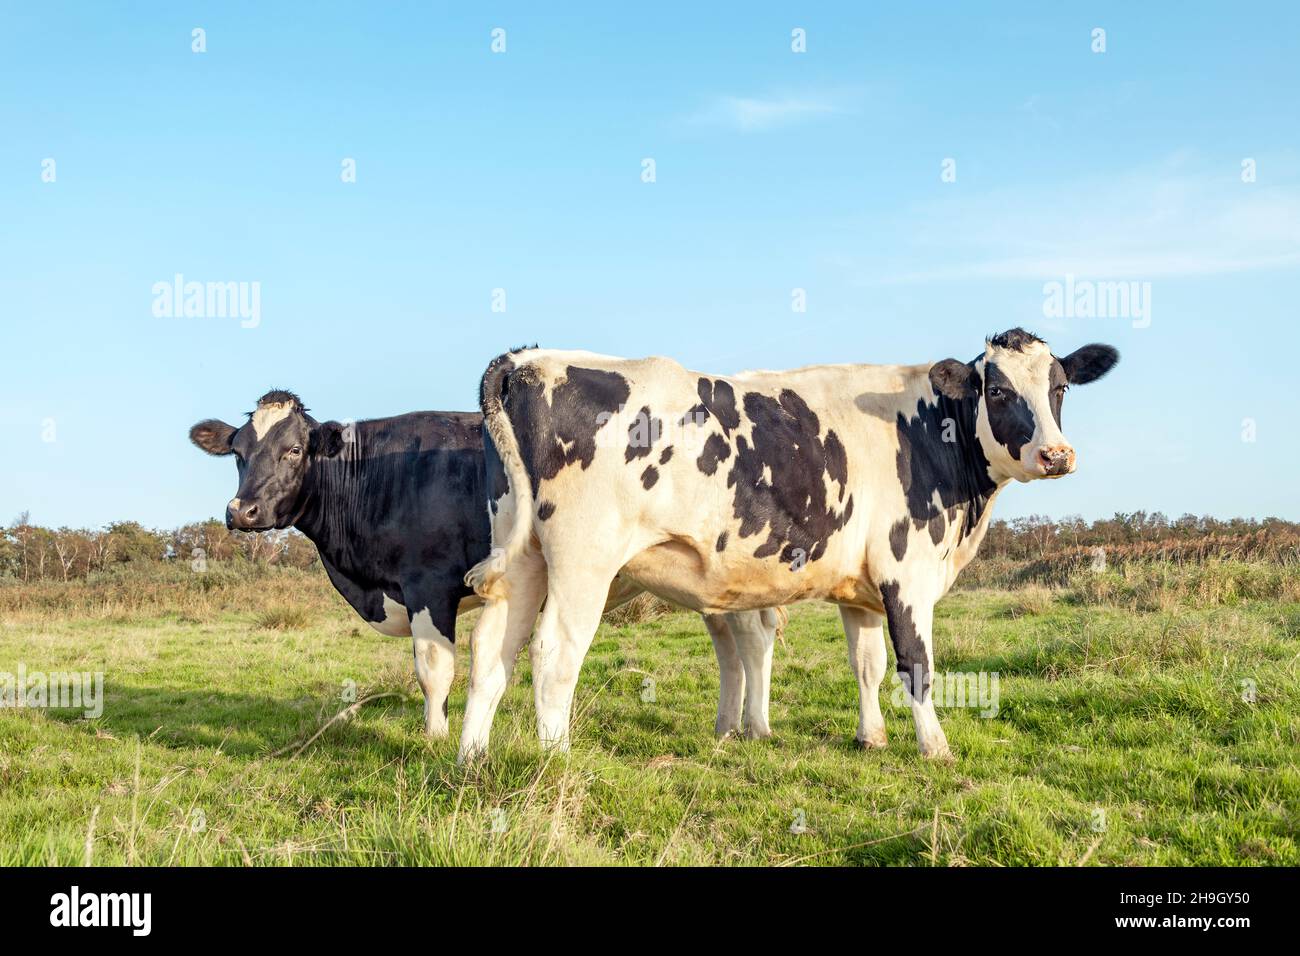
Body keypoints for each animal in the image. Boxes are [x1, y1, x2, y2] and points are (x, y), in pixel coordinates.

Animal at [188, 390, 785, 740]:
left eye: (294, 451)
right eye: (238, 452)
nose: (242, 511)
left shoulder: (429, 585)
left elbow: (433, 669)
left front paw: (435, 737)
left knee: (753, 639)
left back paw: (755, 727)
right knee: (731, 646)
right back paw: (727, 726)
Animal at [459, 329, 1119, 762]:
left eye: (1060, 387)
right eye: (999, 391)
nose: (1056, 455)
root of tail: (529, 359)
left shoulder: (861, 588)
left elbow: (867, 663)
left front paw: (871, 737)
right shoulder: (905, 569)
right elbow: (916, 664)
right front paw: (935, 747)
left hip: (523, 555)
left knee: (492, 651)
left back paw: (472, 760)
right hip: (584, 557)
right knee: (553, 653)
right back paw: (556, 760)